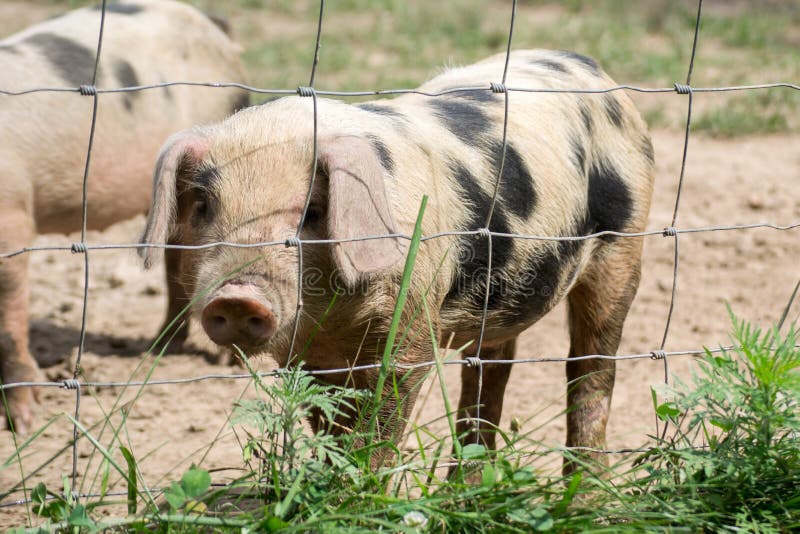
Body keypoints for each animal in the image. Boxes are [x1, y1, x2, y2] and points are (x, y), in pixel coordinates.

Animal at [0, 0, 248, 434]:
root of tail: (212, 23)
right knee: (176, 255)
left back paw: (225, 360)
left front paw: (23, 425)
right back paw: (159, 348)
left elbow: (8, 317)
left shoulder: (12, 214)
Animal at [140, 49, 655, 472]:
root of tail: (584, 63)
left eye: (312, 211)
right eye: (204, 205)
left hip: (624, 246)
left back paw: (584, 496)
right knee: (491, 369)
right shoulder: (306, 358)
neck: (334, 320)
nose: (238, 297)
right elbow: (330, 425)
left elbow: (380, 427)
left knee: (591, 368)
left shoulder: (412, 320)